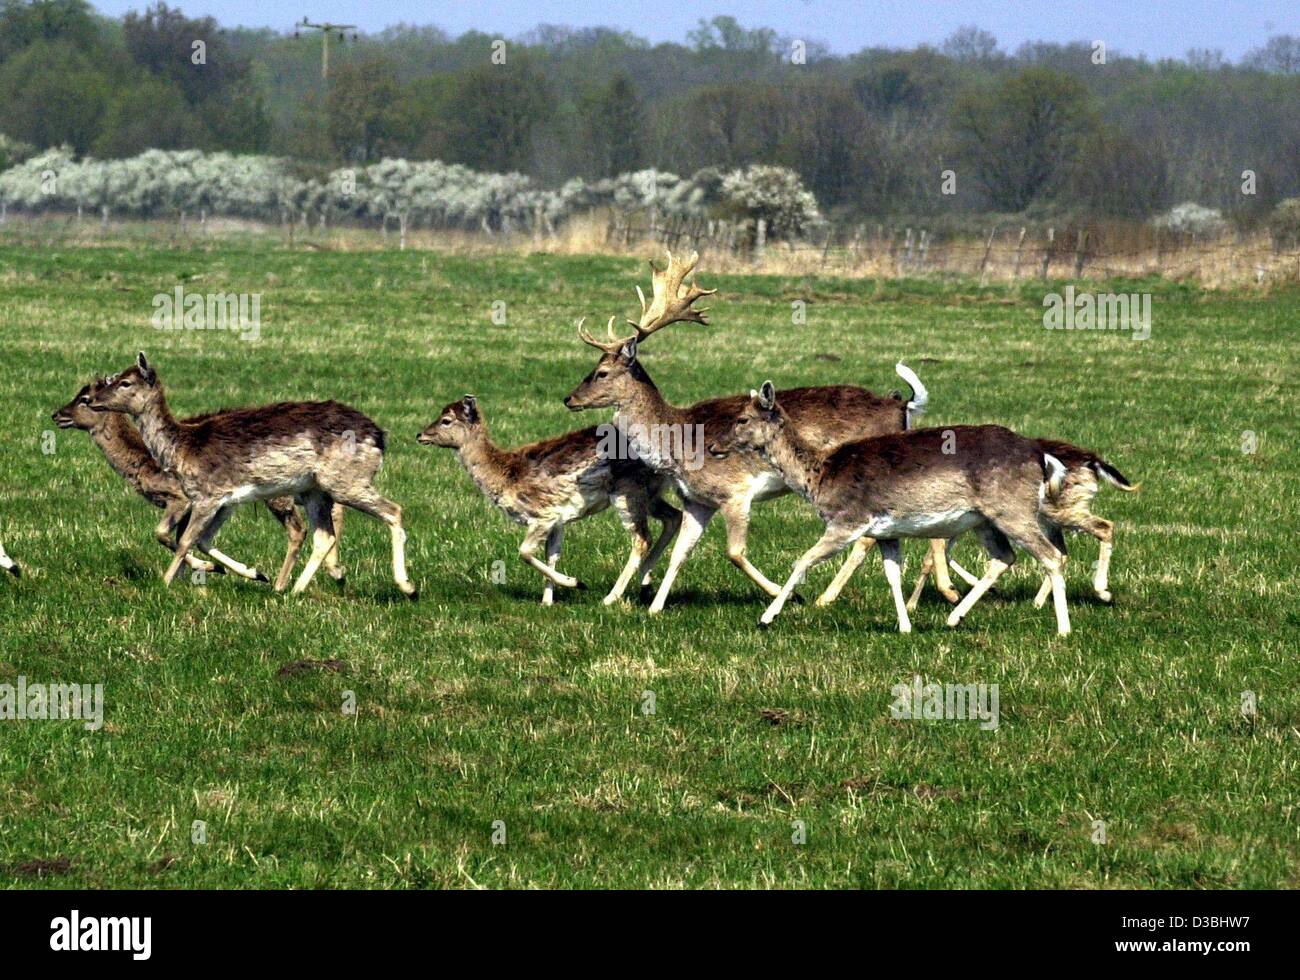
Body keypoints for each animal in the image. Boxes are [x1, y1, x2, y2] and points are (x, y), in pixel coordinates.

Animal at [54, 380, 346, 591]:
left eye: (85, 399)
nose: (56, 414)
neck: (146, 463)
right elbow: (185, 538)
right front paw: (188, 577)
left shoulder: (182, 497)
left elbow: (166, 535)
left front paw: (213, 569)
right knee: (333, 511)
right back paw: (336, 572)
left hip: (279, 494)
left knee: (299, 529)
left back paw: (281, 584)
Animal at [87, 353, 415, 598]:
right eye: (113, 377)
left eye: (125, 382)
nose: (92, 399)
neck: (182, 448)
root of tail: (379, 437)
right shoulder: (226, 501)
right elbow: (203, 541)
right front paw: (255, 572)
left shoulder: (207, 495)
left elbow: (185, 540)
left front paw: (164, 583)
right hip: (314, 489)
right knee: (323, 536)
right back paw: (294, 590)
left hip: (346, 480)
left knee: (393, 510)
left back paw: (407, 587)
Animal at [417, 395, 681, 605]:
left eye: (446, 420)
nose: (420, 434)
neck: (506, 476)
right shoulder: (558, 518)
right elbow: (551, 554)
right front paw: (547, 601)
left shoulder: (542, 513)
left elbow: (524, 551)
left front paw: (576, 582)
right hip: (650, 493)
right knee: (673, 516)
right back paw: (645, 583)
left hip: (628, 490)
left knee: (642, 538)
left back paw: (610, 598)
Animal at [563, 249, 957, 614]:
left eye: (601, 372)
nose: (569, 398)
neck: (676, 443)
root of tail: (902, 407)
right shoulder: (696, 500)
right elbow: (681, 553)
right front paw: (656, 607)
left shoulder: (735, 492)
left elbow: (735, 552)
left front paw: (789, 593)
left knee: (880, 536)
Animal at [709, 382, 1076, 635]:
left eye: (741, 419)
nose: (712, 445)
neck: (820, 476)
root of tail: (1042, 457)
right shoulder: (886, 531)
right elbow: (892, 574)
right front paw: (905, 625)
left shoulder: (847, 520)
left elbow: (803, 560)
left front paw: (766, 617)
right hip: (985, 519)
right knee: (1004, 558)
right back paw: (953, 618)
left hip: (1013, 510)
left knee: (1051, 556)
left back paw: (1063, 629)